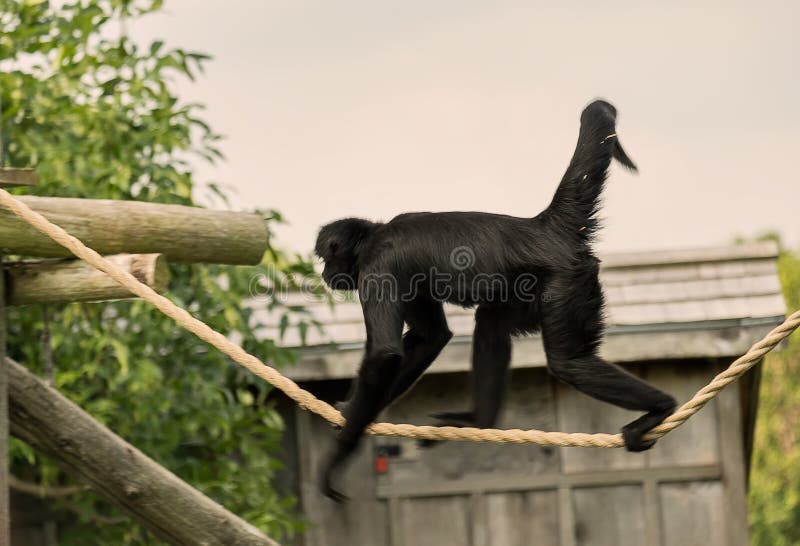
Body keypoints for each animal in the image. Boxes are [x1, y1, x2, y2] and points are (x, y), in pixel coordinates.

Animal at [314, 100, 677, 501]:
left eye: (325, 257)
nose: (325, 273)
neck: (376, 235)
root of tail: (544, 226)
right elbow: (430, 336)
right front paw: (350, 409)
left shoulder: (377, 268)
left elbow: (384, 355)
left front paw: (336, 458)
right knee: (489, 323)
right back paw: (480, 420)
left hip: (567, 283)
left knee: (569, 363)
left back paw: (661, 409)